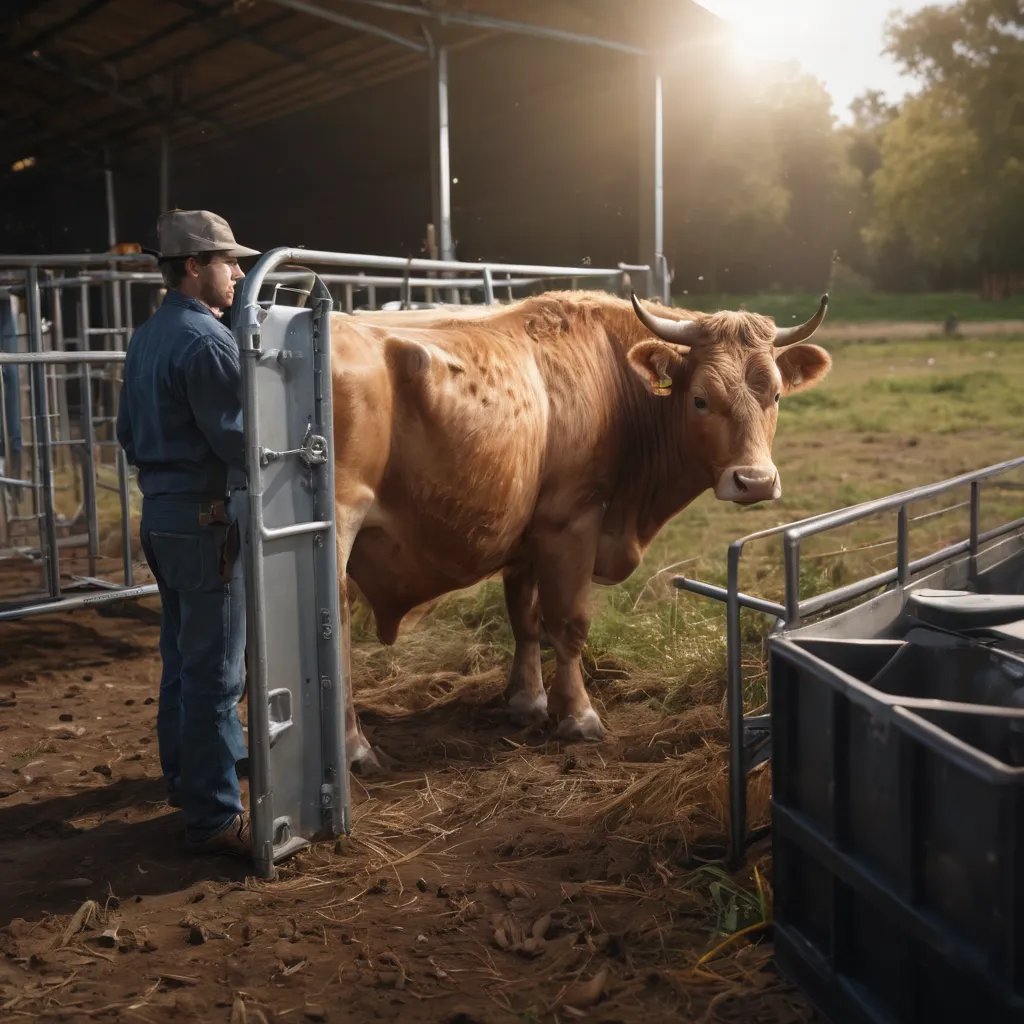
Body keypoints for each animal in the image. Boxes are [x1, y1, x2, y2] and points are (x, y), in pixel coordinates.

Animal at [329, 290, 832, 770]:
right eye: (701, 399)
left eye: (776, 396)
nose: (755, 481)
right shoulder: (569, 521)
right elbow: (567, 622)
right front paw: (577, 715)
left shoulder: (528, 534)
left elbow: (525, 619)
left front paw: (527, 701)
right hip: (338, 525)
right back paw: (354, 747)